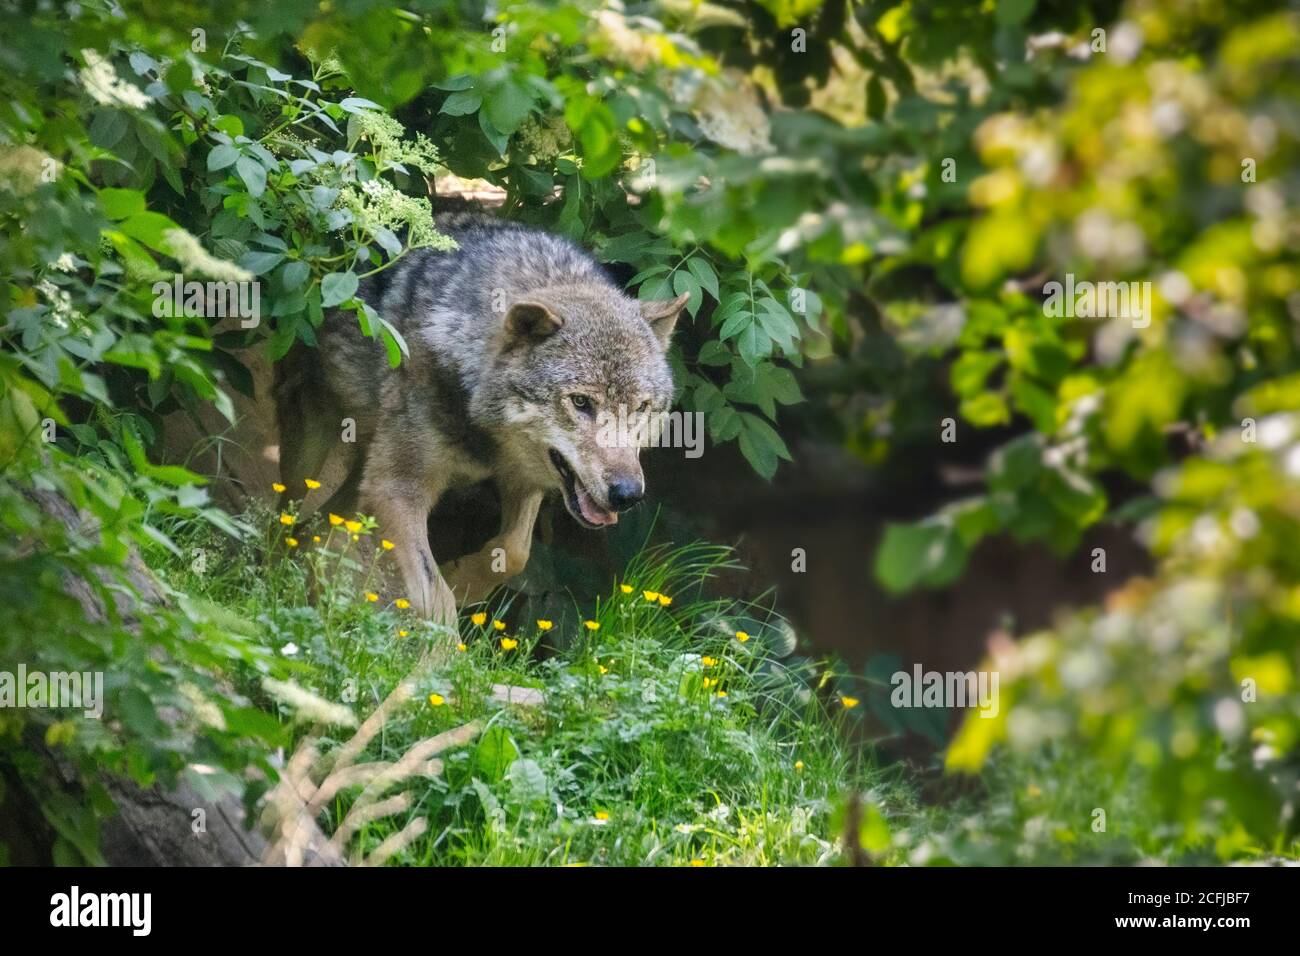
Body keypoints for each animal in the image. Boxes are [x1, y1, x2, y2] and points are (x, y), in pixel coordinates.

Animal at [275, 213, 688, 626]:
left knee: (318, 528)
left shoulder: (525, 478)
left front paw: (463, 583)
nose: (627, 494)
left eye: (640, 407)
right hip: (311, 461)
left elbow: (515, 552)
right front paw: (444, 632)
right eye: (581, 402)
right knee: (285, 521)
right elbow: (434, 598)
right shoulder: (397, 488)